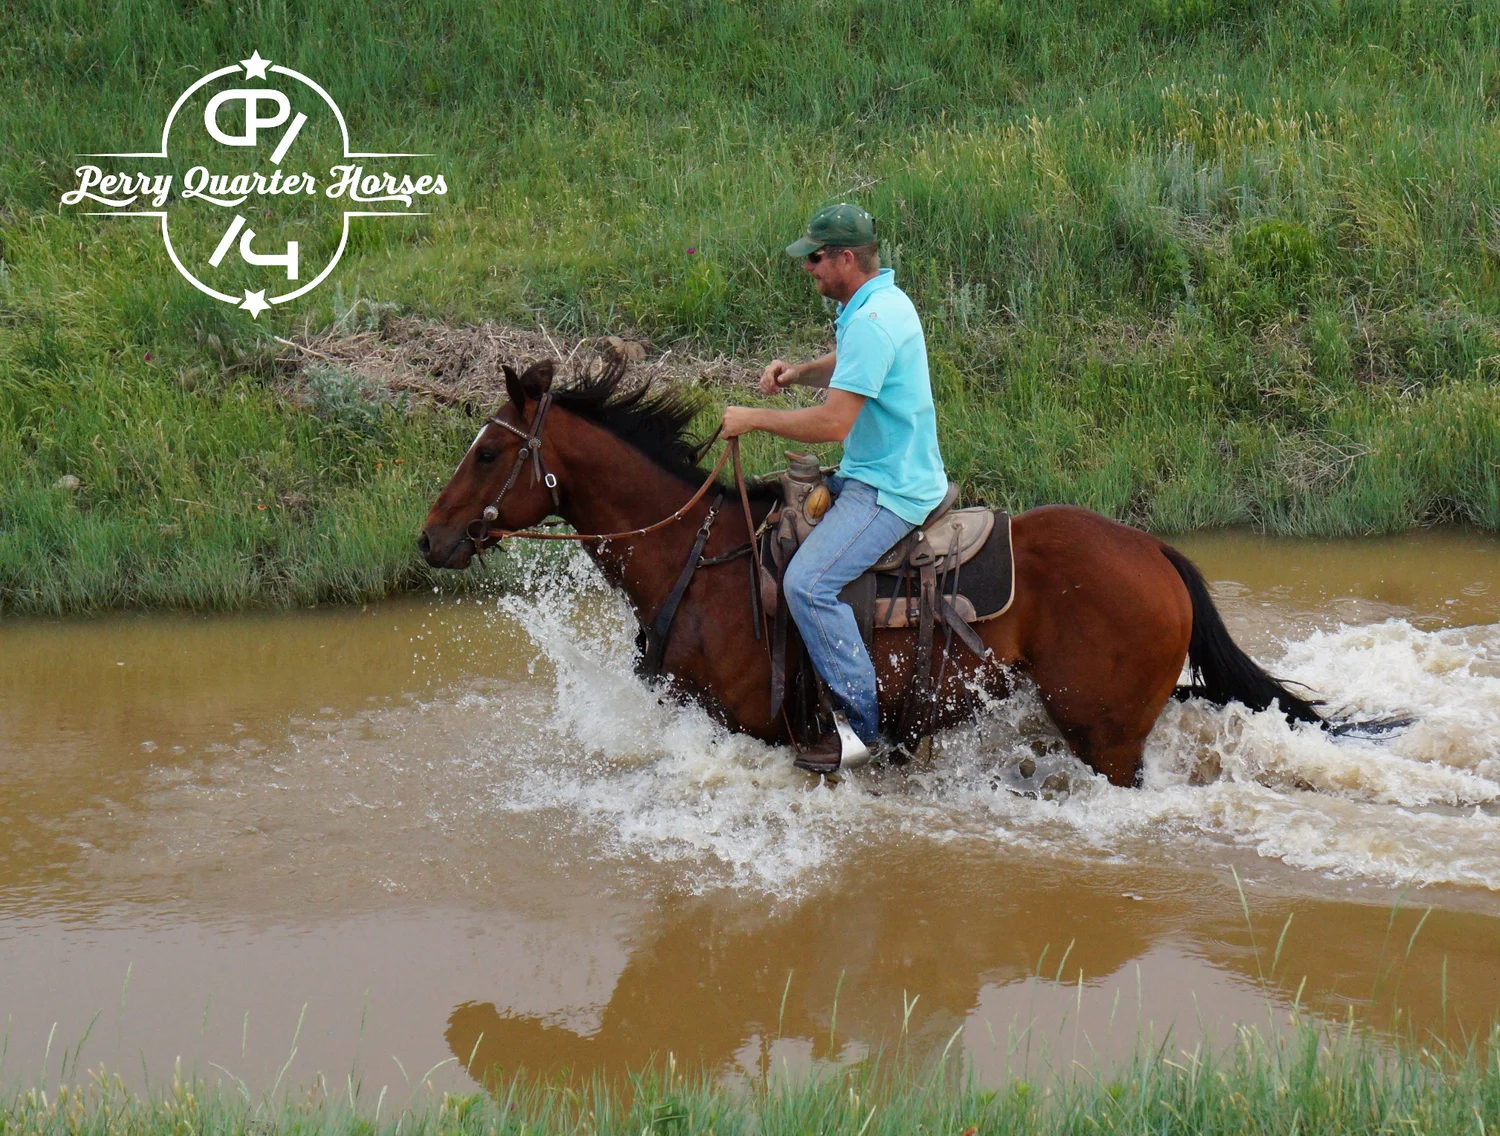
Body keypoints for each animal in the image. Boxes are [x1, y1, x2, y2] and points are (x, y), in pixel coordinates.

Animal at [418, 358, 1340, 788]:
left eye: (490, 451)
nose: (430, 539)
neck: (699, 559)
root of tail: (1156, 554)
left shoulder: (749, 728)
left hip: (1108, 739)